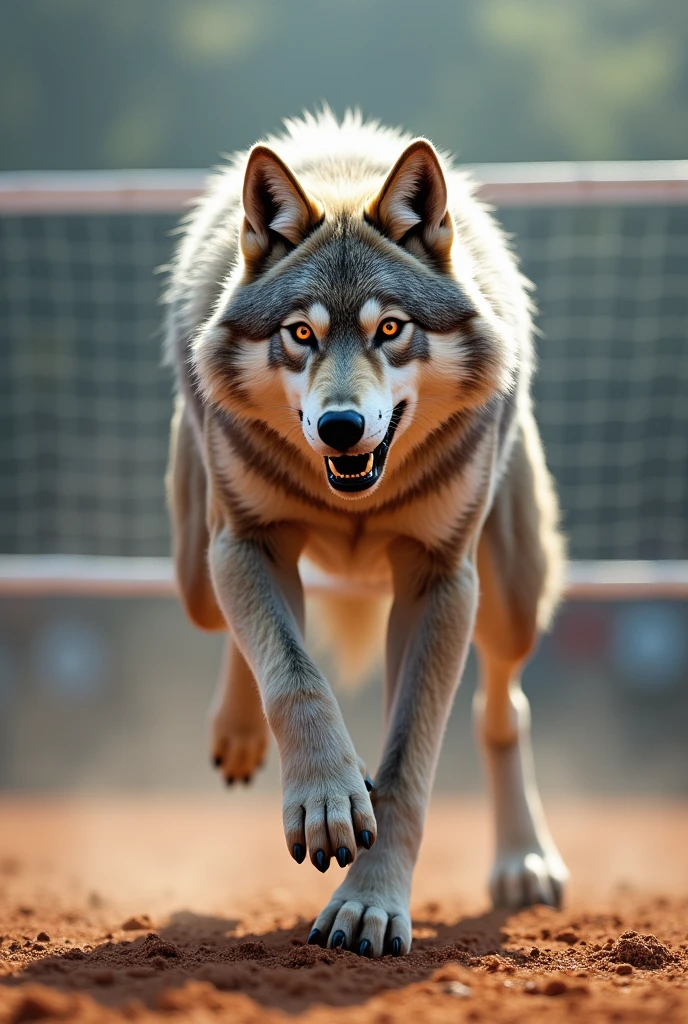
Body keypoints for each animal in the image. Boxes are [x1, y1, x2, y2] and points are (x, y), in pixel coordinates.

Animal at [164, 109, 568, 958]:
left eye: (390, 328)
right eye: (300, 334)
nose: (342, 426)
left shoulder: (441, 579)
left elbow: (406, 765)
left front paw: (369, 907)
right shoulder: (247, 541)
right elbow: (293, 676)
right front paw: (323, 800)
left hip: (511, 599)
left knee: (504, 710)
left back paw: (524, 863)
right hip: (197, 565)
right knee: (233, 625)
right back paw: (239, 735)